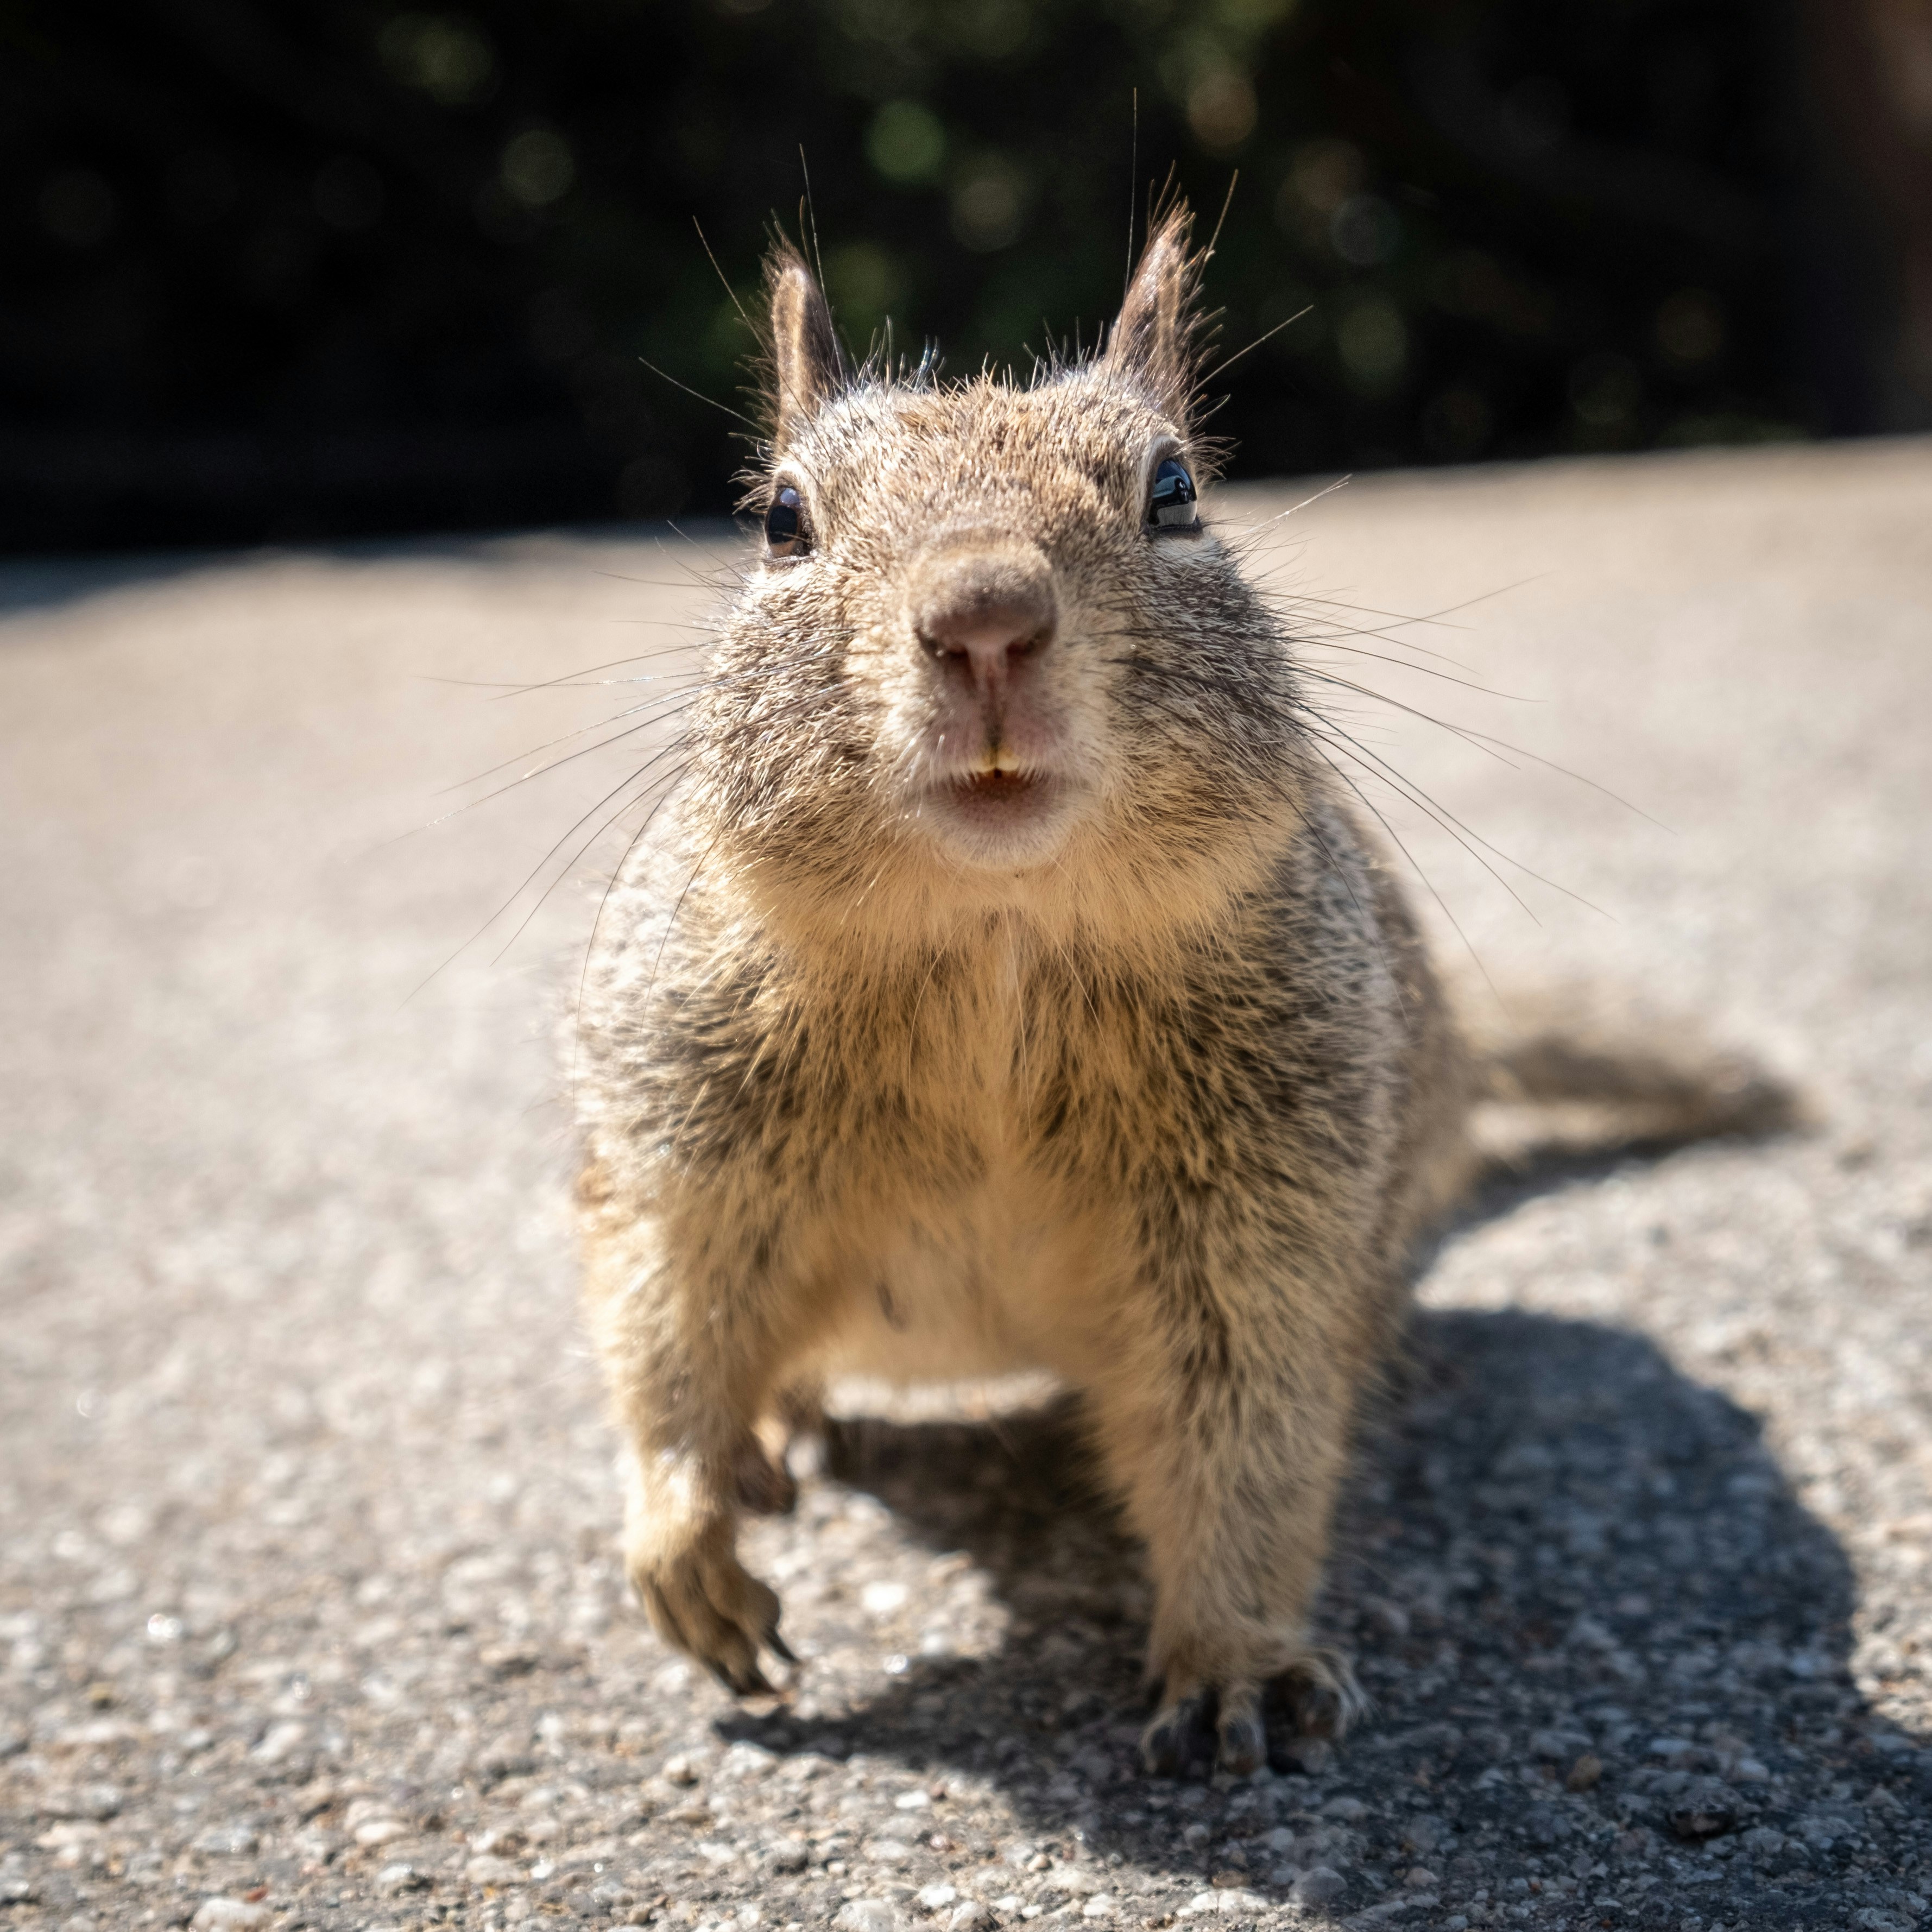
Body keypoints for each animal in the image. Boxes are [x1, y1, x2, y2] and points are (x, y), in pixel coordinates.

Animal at [571, 205, 1793, 1778]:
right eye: (781, 518)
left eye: (1175, 491)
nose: (984, 615)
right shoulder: (683, 1152)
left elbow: (1245, 1442)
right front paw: (683, 1541)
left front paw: (1231, 1660)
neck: (997, 948)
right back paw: (767, 1440)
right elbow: (663, 1333)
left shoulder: (1263, 1222)